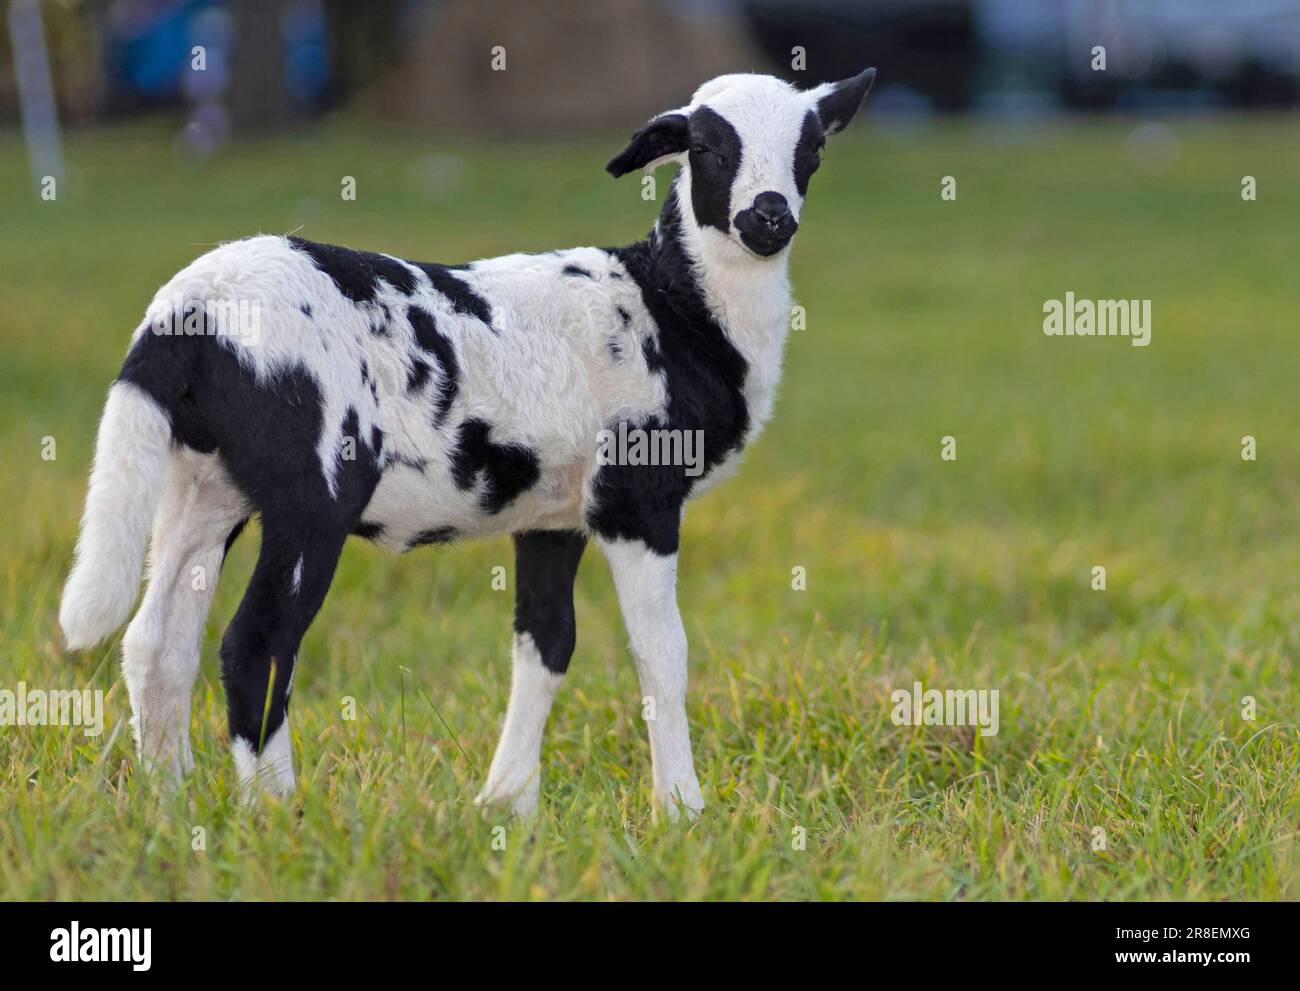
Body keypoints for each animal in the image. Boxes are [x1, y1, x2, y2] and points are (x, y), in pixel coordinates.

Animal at [59, 68, 876, 818]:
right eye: (706, 147)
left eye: (812, 149)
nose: (768, 217)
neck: (673, 306)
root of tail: (185, 313)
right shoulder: (637, 500)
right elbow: (661, 654)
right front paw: (680, 809)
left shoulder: (554, 516)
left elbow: (545, 647)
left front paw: (505, 805)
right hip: (312, 490)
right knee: (255, 644)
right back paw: (276, 812)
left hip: (201, 480)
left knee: (157, 641)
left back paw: (168, 806)